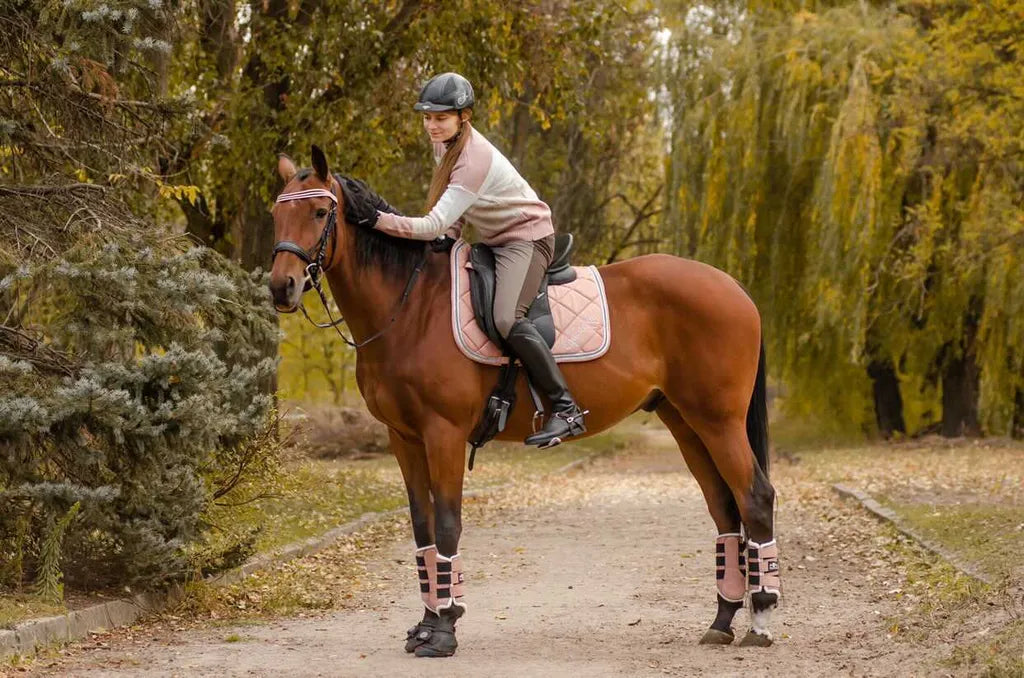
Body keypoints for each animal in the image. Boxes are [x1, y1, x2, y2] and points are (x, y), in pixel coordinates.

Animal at [268, 146, 780, 657]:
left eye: (320, 212)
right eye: (276, 213)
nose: (280, 287)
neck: (411, 307)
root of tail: (733, 286)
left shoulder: (443, 434)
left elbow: (448, 524)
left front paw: (445, 629)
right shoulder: (404, 439)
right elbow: (423, 530)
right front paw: (426, 624)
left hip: (718, 421)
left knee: (755, 498)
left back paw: (761, 618)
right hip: (685, 422)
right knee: (725, 508)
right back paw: (723, 619)